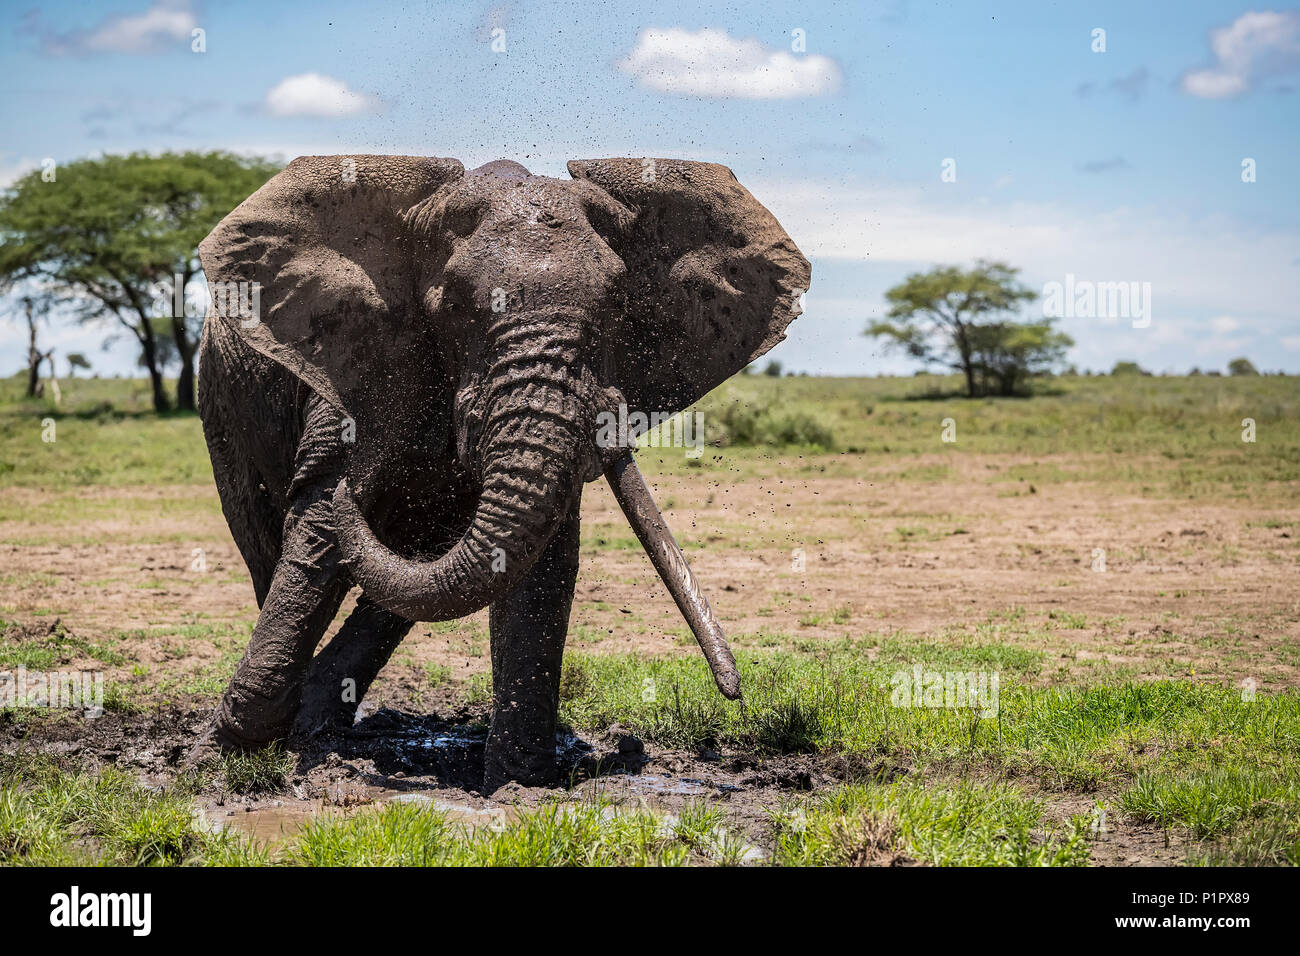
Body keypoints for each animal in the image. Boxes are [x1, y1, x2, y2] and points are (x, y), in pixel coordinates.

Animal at [192, 154, 810, 791]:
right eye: (453, 305)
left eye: (618, 306)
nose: (735, 691)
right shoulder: (356, 370)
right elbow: (316, 528)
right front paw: (217, 763)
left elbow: (540, 561)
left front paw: (519, 786)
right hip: (220, 403)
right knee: (268, 545)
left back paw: (323, 719)